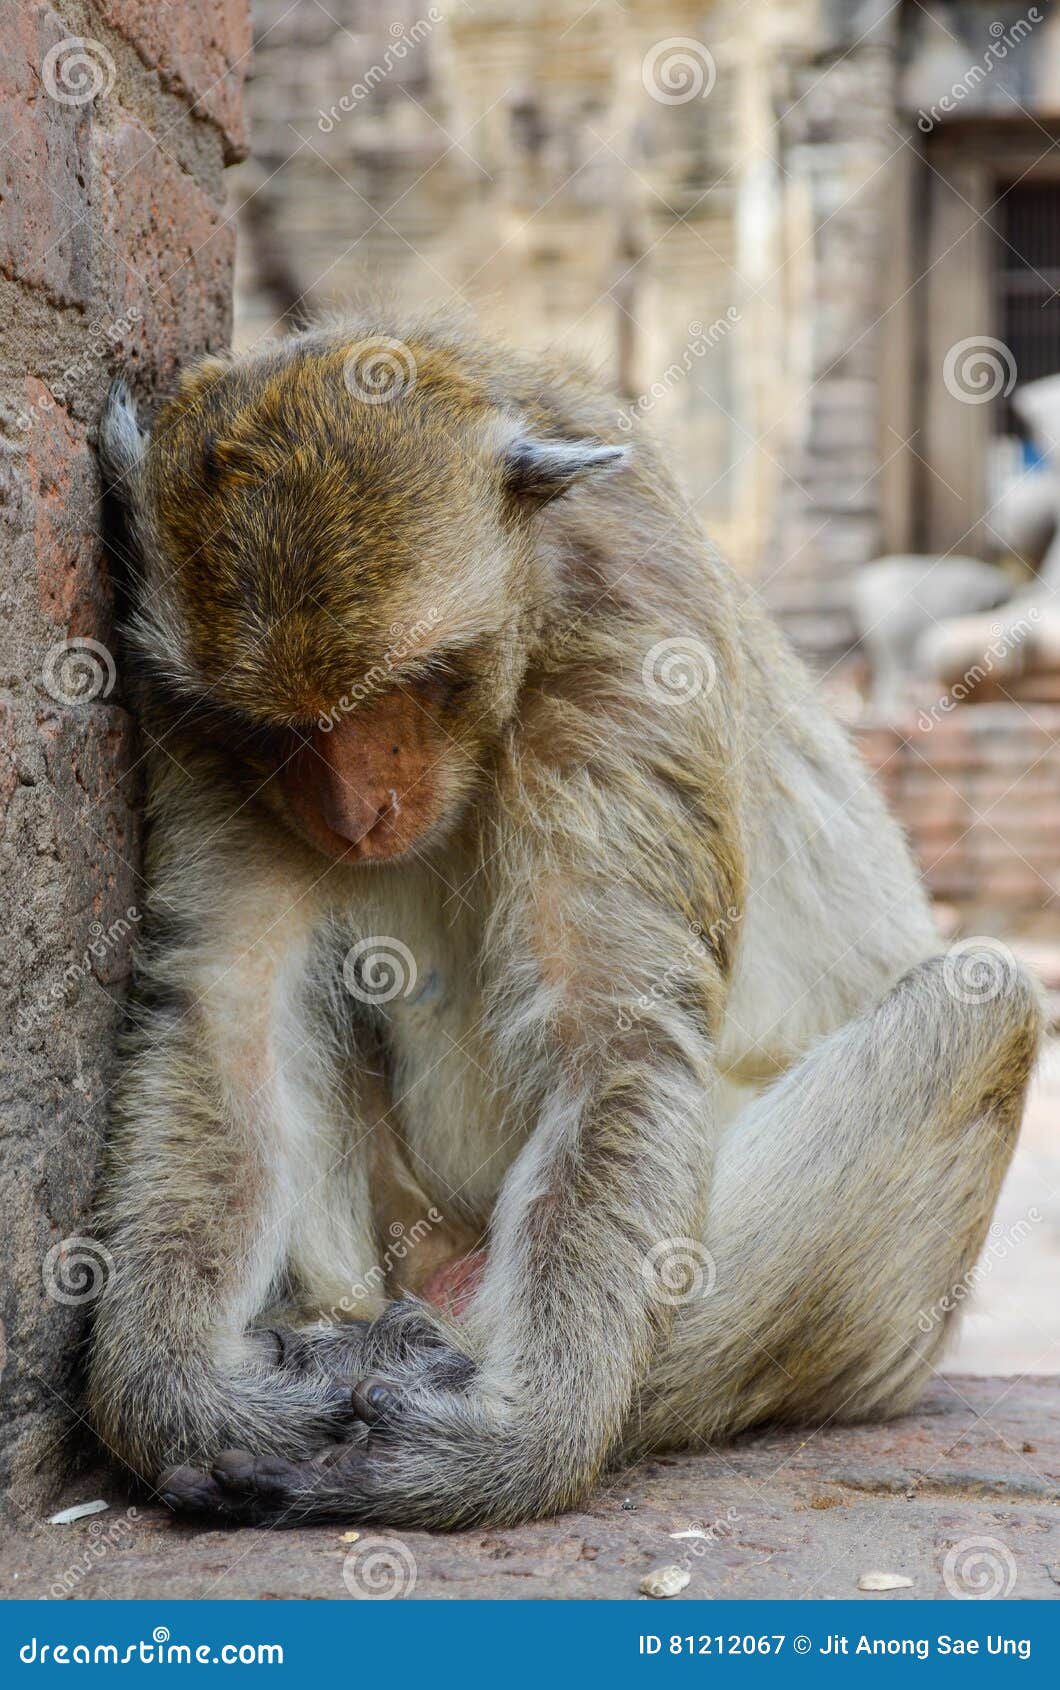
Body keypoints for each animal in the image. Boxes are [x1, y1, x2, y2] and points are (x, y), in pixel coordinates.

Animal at [86, 310, 1043, 1530]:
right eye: (276, 729)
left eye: (412, 684)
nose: (356, 813)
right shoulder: (187, 720)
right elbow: (228, 1013)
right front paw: (183, 1396)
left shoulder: (630, 640)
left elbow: (615, 1033)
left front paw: (514, 1438)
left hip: (887, 1345)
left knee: (982, 1005)